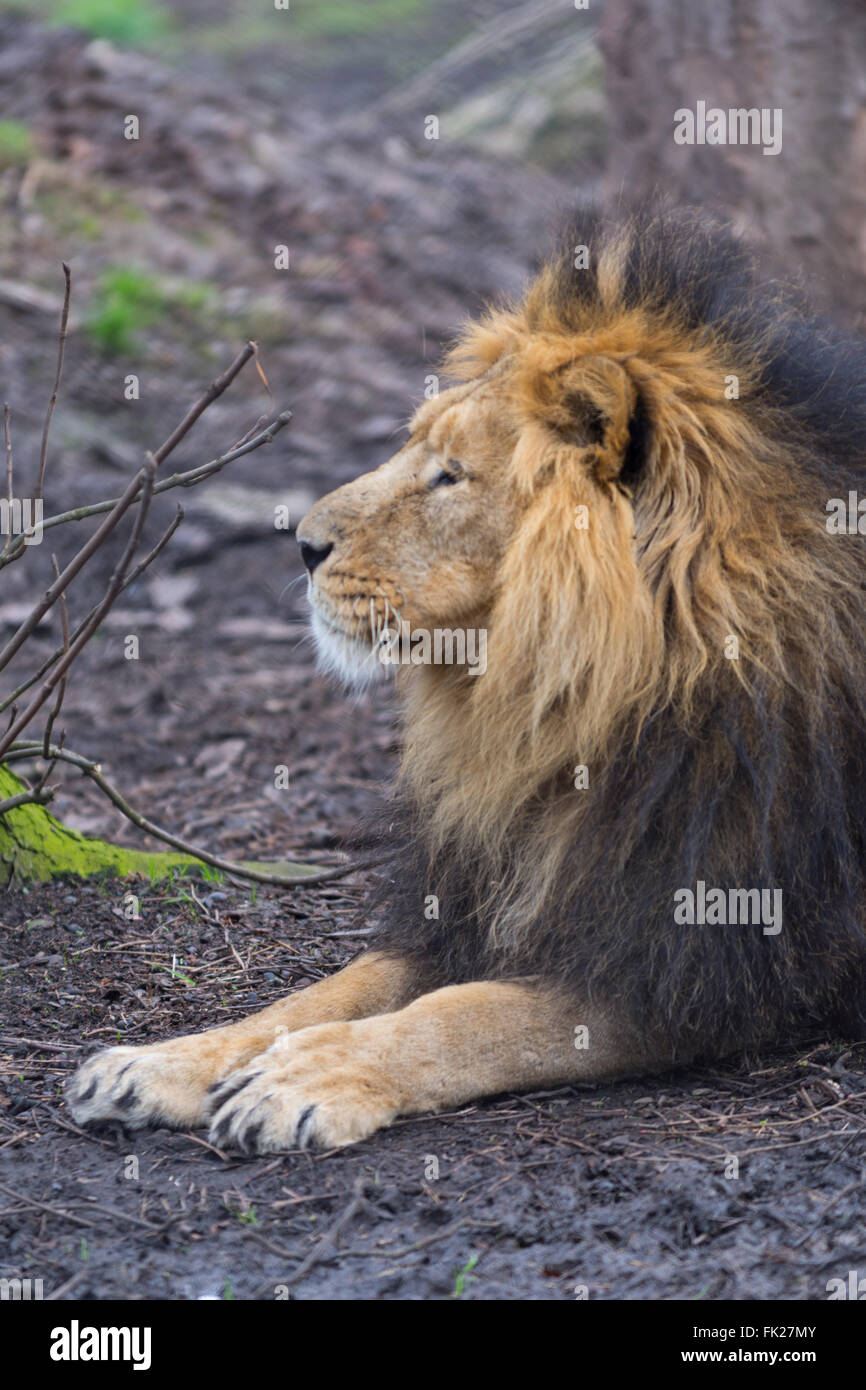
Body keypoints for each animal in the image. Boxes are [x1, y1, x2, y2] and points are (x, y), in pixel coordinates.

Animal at [68, 206, 866, 1153]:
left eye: (449, 475)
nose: (301, 544)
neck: (555, 716)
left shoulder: (699, 962)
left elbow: (466, 1015)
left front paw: (306, 1075)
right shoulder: (474, 897)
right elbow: (330, 989)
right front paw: (164, 1060)